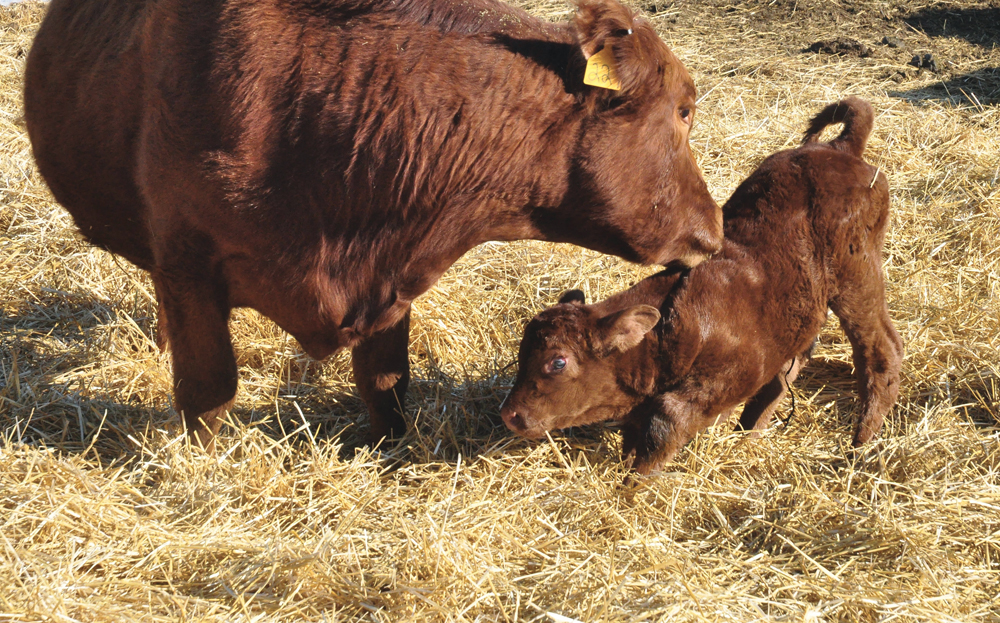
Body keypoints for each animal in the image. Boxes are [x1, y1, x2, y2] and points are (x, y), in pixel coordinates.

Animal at [23, 0, 722, 450]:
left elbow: (386, 383)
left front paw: (385, 453)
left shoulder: (394, 275)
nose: (713, 227)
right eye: (684, 111)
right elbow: (208, 389)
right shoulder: (188, 262)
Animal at [500, 97, 904, 474]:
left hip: (857, 276)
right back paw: (749, 435)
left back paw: (860, 442)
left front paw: (634, 483)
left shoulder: (731, 374)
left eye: (558, 362)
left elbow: (668, 418)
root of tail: (840, 148)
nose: (510, 414)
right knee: (796, 359)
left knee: (881, 350)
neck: (670, 326)